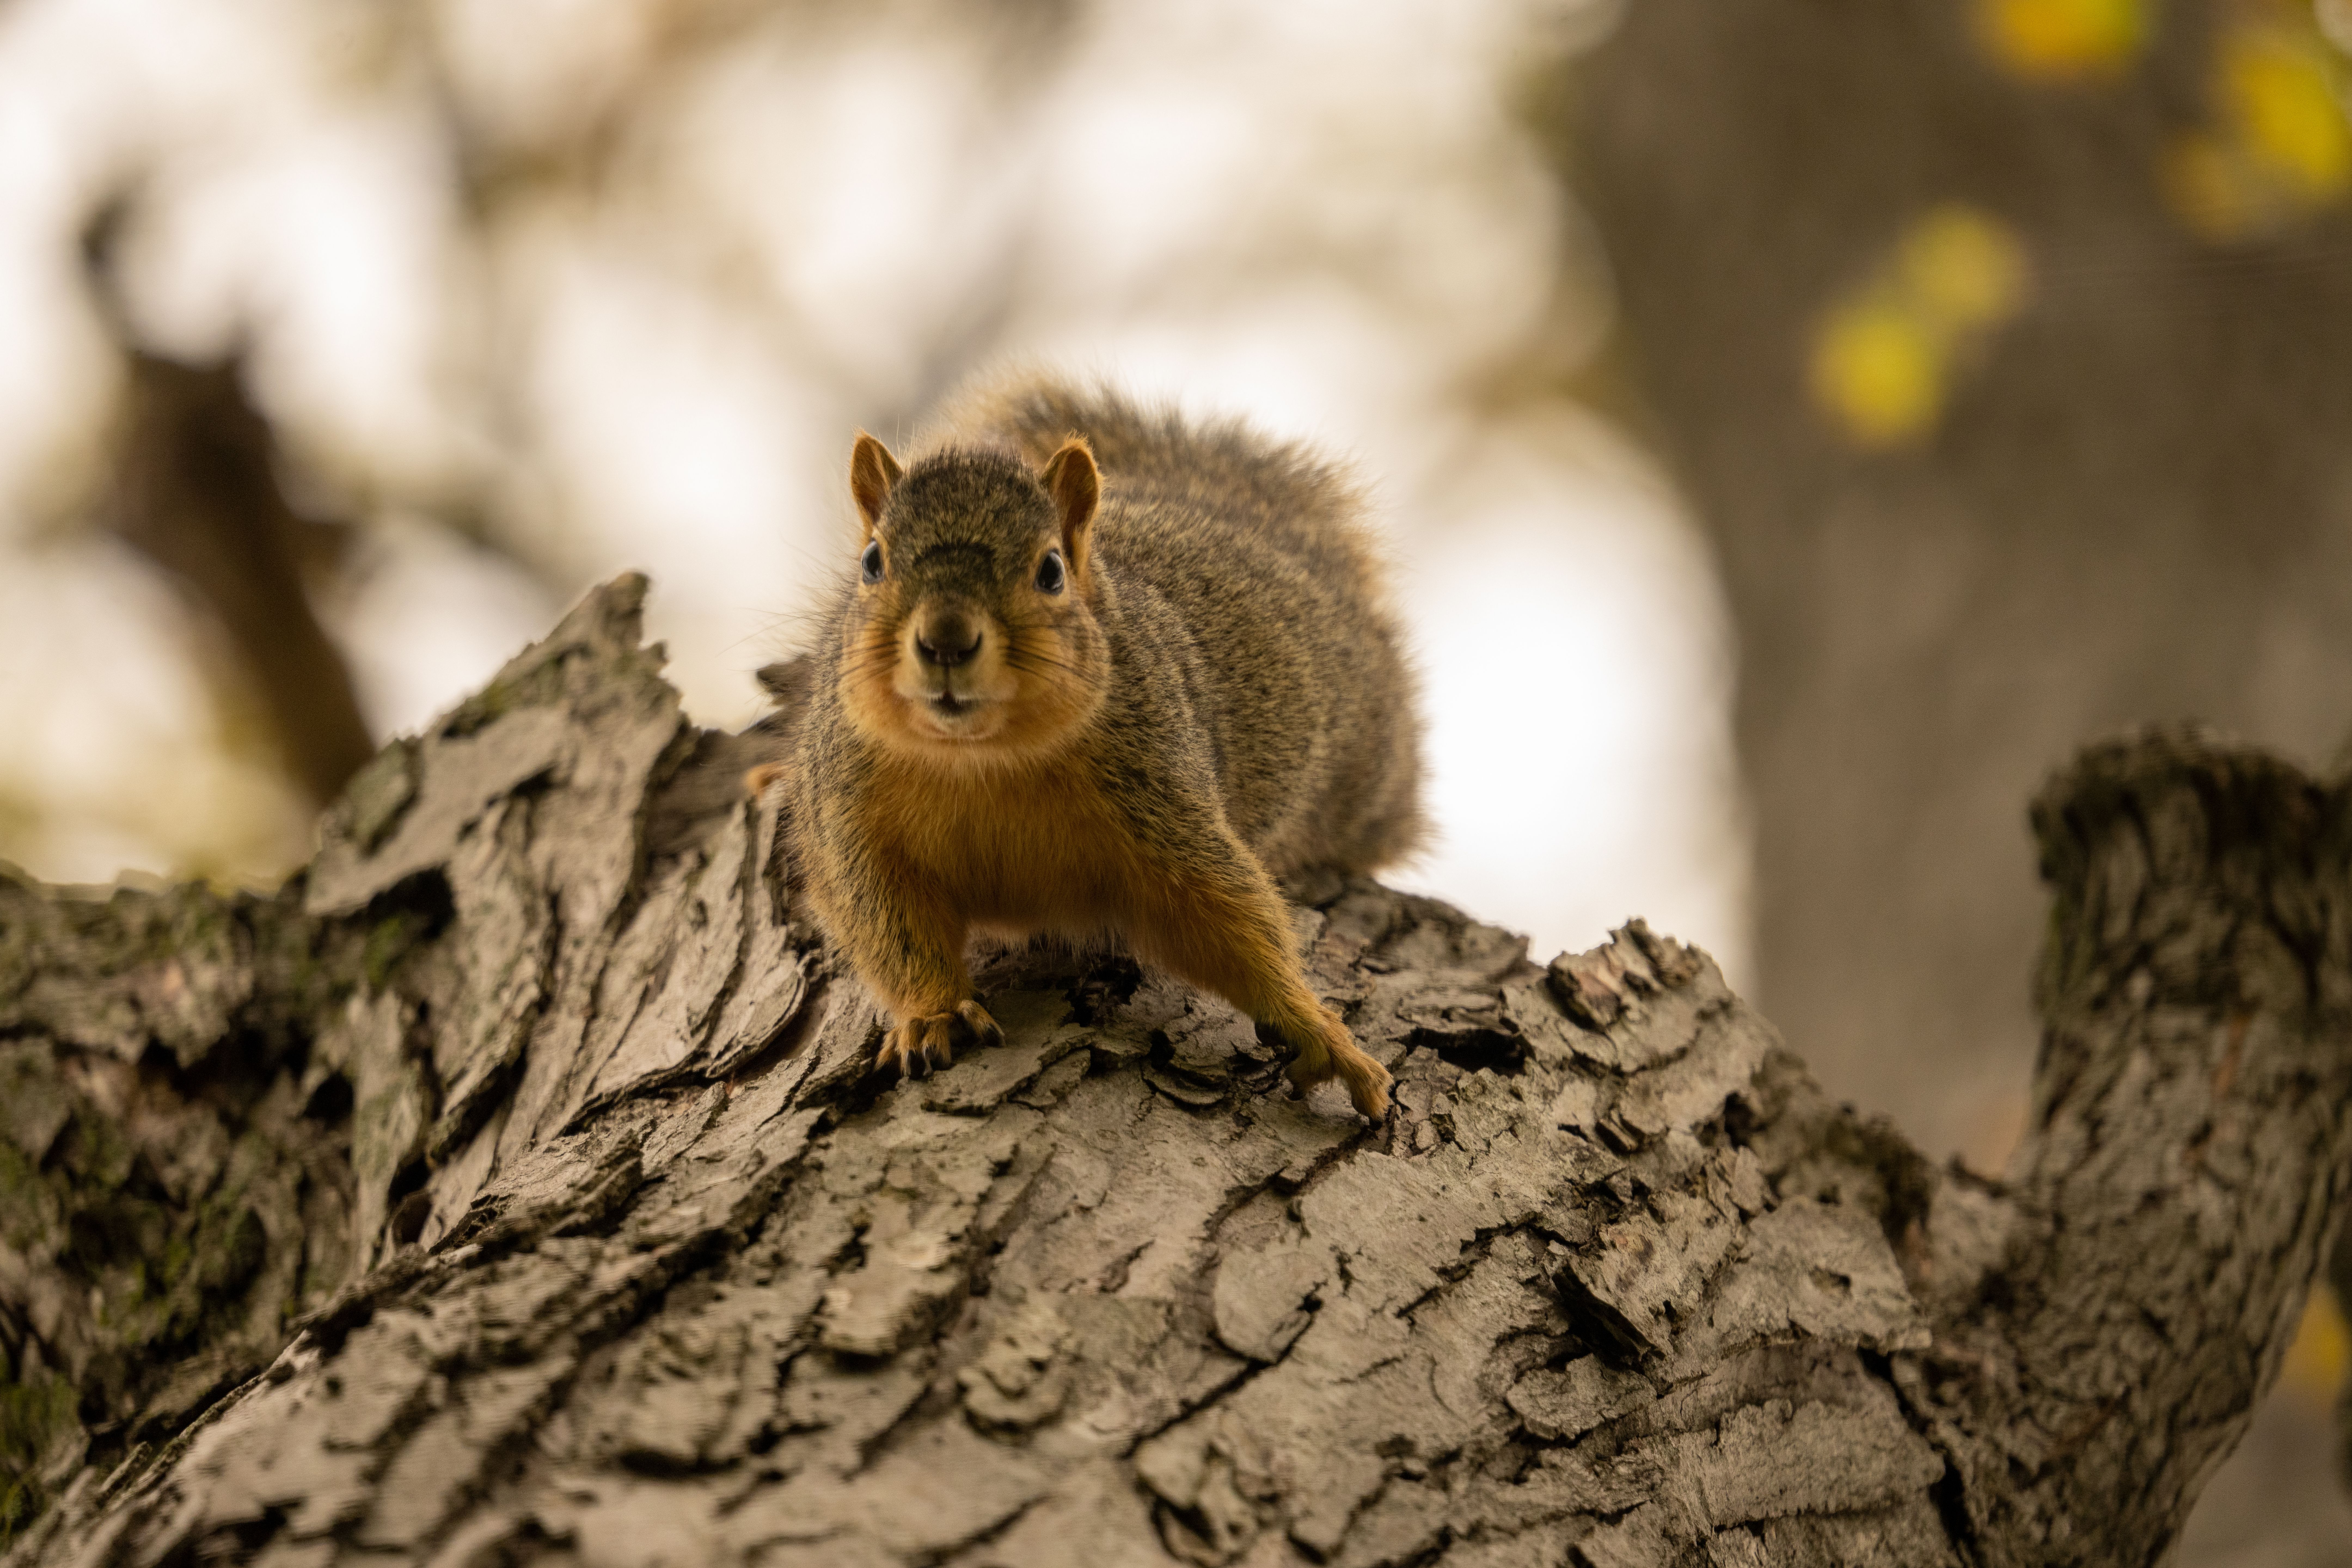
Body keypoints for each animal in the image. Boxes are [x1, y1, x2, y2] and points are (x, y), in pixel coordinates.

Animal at [771, 373, 1425, 1120]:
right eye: (872, 562)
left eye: (1051, 570)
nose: (946, 641)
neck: (978, 760)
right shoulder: (849, 821)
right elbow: (887, 924)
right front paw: (932, 1013)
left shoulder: (1162, 795)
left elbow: (1227, 917)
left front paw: (1315, 1028)